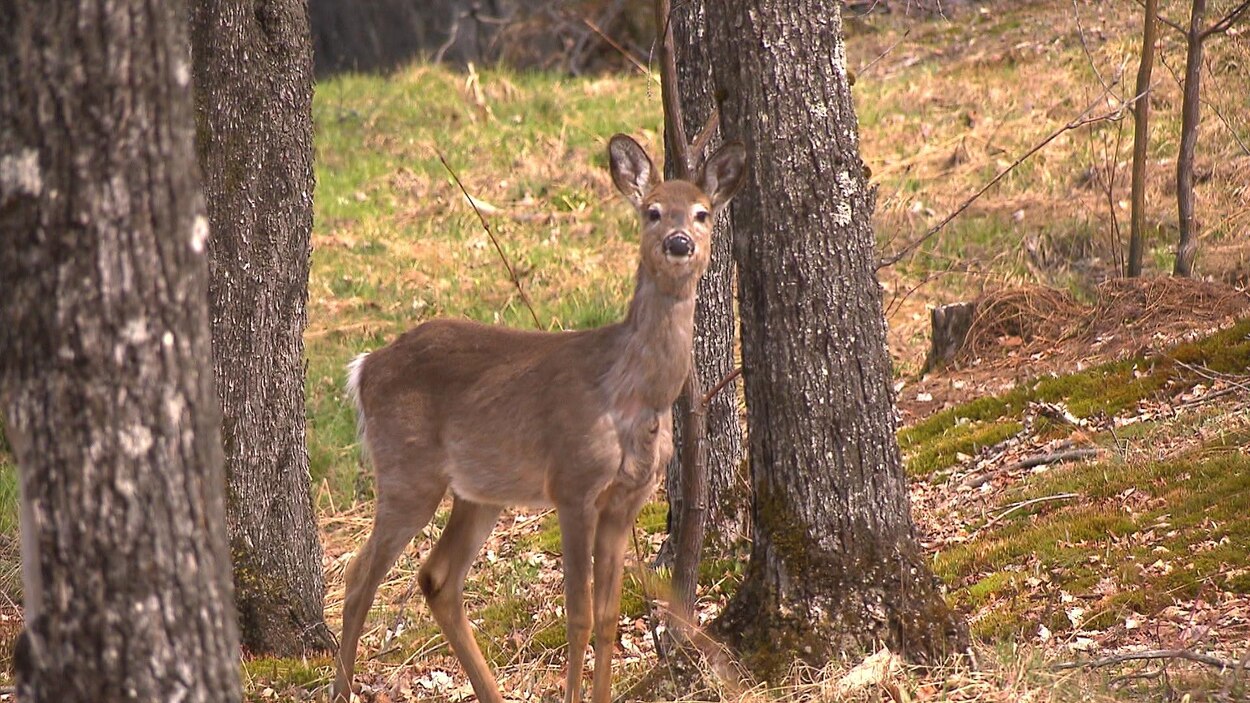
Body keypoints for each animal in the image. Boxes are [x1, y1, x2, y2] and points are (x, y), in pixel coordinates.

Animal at [332, 133, 747, 703]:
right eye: (653, 211)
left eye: (703, 213)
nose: (679, 242)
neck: (635, 396)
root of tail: (365, 366)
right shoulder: (573, 483)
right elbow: (578, 615)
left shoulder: (627, 499)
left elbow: (608, 617)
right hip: (406, 471)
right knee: (359, 577)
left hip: (479, 492)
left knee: (437, 577)